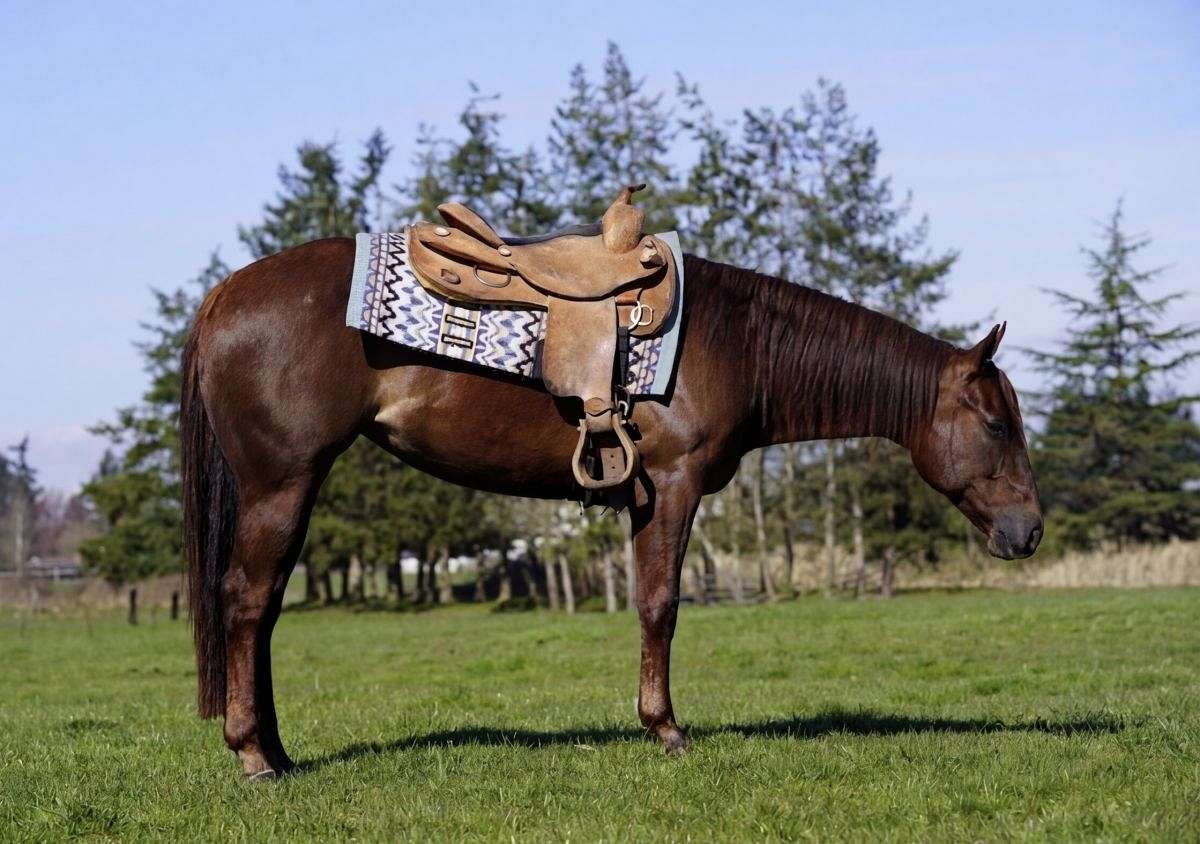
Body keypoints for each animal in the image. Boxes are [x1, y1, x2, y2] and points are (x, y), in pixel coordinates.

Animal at [181, 239, 1042, 778]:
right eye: (998, 425)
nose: (1029, 530)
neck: (733, 341)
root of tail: (224, 295)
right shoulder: (672, 485)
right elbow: (661, 606)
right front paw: (666, 730)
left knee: (263, 610)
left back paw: (278, 752)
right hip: (282, 483)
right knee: (246, 602)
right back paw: (253, 757)